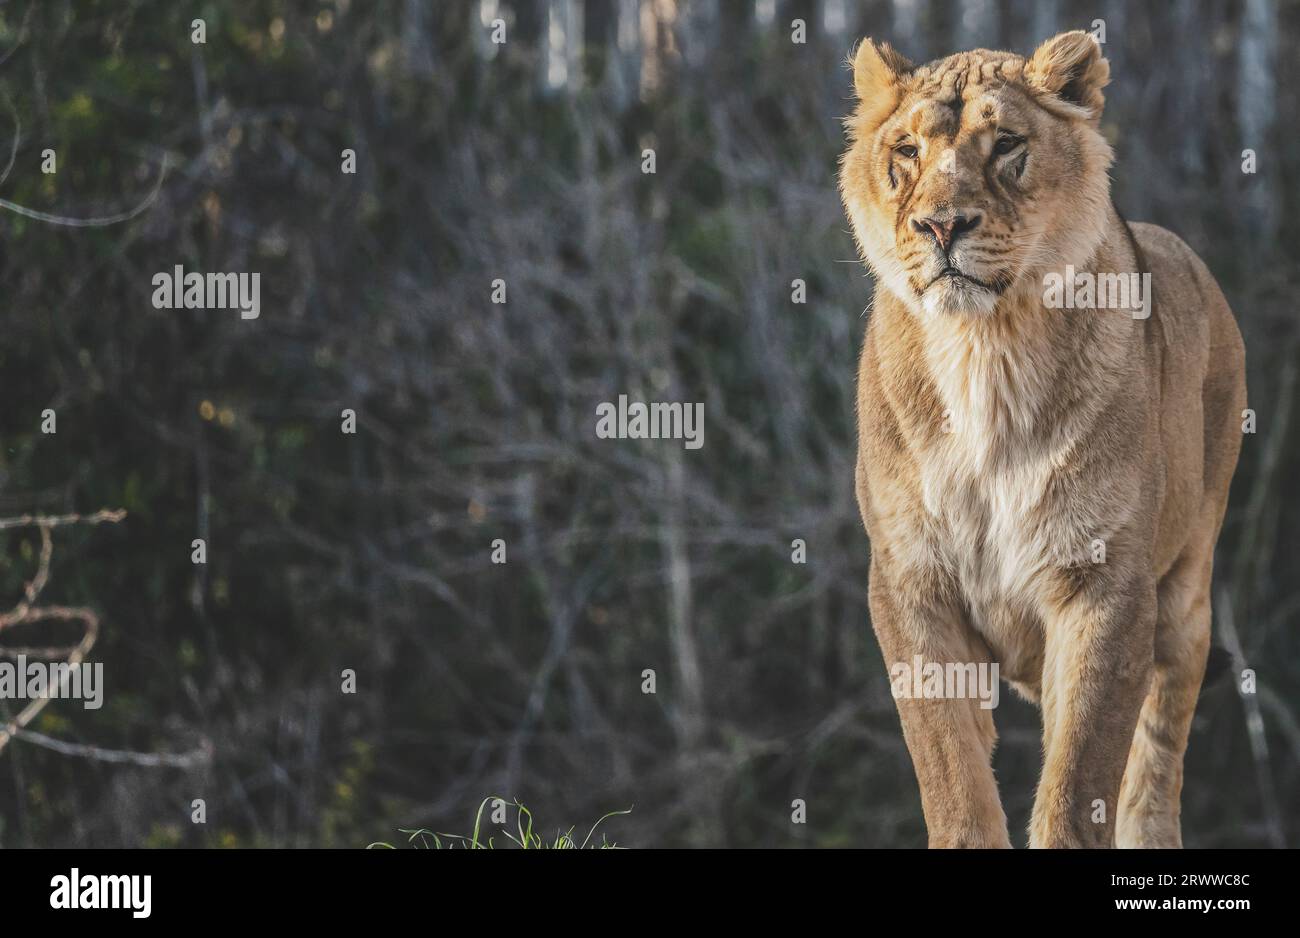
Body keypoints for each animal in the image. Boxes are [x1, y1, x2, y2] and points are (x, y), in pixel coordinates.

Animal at [839, 31, 1246, 848]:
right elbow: (952, 774)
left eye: (1006, 146)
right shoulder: (910, 586)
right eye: (906, 150)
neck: (984, 351)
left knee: (1155, 759)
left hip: (1186, 592)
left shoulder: (1103, 588)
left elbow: (1078, 784)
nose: (942, 226)